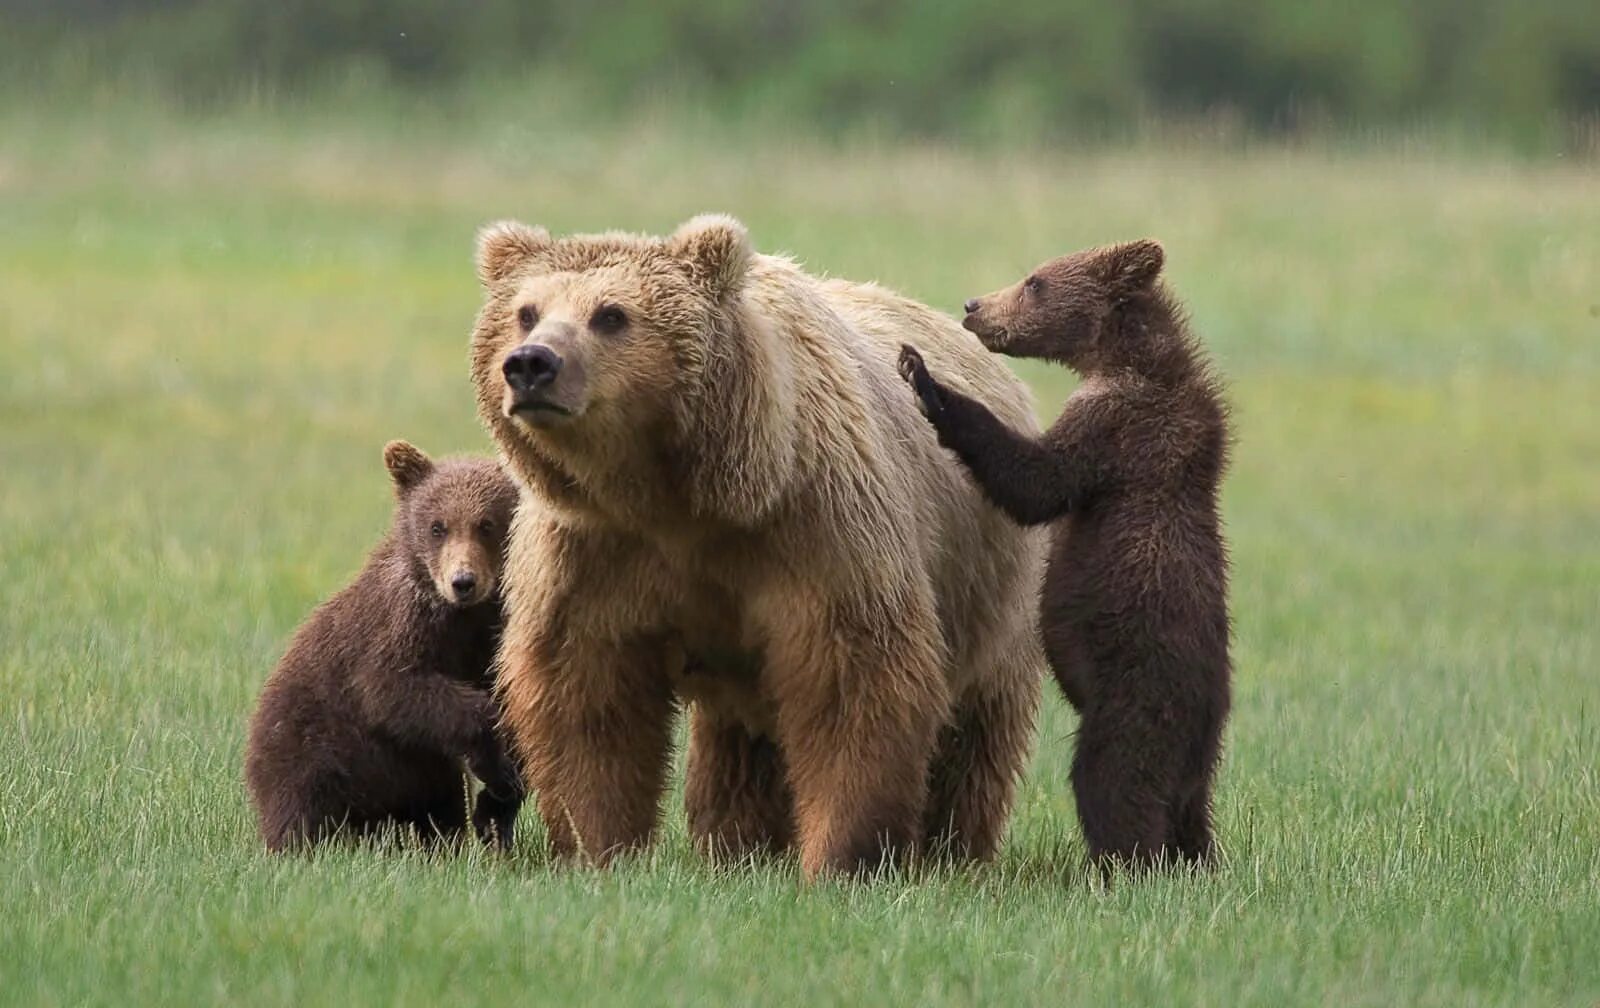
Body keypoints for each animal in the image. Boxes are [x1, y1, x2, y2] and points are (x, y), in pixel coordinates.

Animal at [244, 440, 527, 852]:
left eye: (486, 524)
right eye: (437, 526)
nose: (463, 581)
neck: (462, 617)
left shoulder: (494, 637)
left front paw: (497, 805)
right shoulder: (397, 628)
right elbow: (393, 688)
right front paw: (496, 765)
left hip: (415, 772)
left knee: (440, 802)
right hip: (310, 747)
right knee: (301, 806)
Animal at [468, 214, 1045, 879]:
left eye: (611, 314)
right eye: (526, 311)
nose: (532, 364)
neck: (678, 497)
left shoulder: (816, 526)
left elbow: (850, 684)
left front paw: (842, 855)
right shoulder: (593, 550)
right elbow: (587, 696)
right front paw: (599, 847)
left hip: (992, 589)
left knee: (973, 732)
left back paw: (952, 850)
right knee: (741, 747)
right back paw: (738, 846)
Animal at [897, 239, 1232, 871]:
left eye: (1035, 281)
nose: (974, 305)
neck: (1123, 360)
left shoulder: (1118, 430)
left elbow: (1036, 480)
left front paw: (925, 378)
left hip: (1136, 695)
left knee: (1114, 783)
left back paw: (1121, 866)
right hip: (1200, 752)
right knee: (1191, 813)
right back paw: (1196, 862)